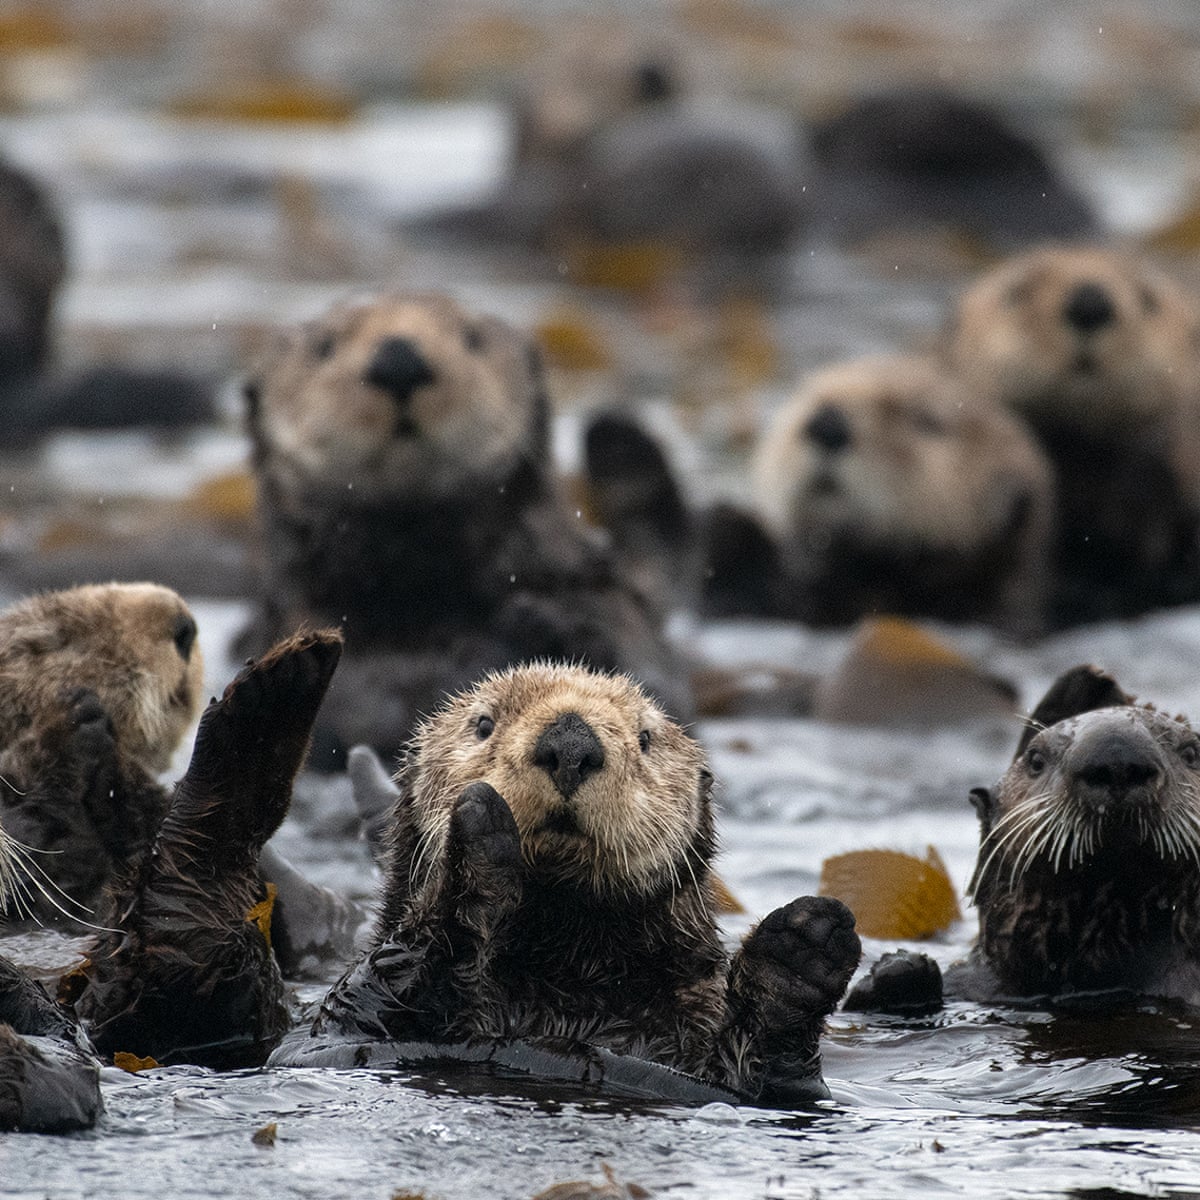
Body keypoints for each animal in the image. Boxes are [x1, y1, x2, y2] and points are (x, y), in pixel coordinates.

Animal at [241, 292, 690, 764]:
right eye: (324, 347)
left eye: (472, 338)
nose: (399, 360)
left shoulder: (603, 595)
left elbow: (645, 671)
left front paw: (542, 621)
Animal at [274, 663, 861, 1108]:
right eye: (483, 723)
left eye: (645, 739)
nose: (571, 742)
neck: (560, 967)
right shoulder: (336, 1030)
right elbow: (382, 987)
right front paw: (477, 834)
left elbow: (771, 1079)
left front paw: (802, 948)